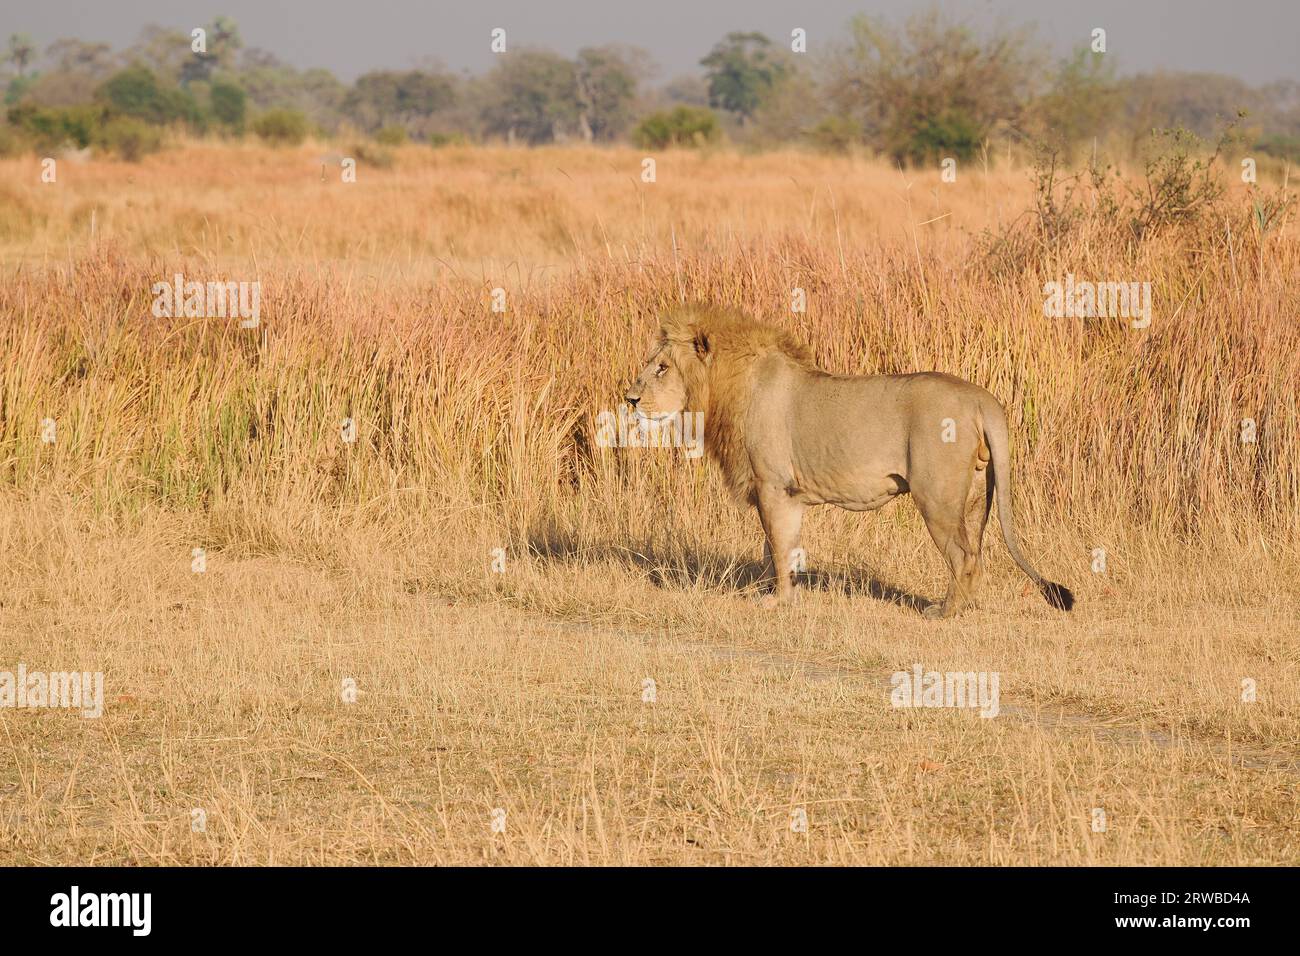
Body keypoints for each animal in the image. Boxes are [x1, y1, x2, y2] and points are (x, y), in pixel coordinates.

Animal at [623, 305, 1074, 618]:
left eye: (661, 368)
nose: (629, 399)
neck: (725, 388)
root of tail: (982, 397)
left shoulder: (773, 486)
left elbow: (779, 548)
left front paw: (776, 604)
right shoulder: (785, 495)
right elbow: (778, 551)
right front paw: (777, 595)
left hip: (937, 498)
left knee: (964, 557)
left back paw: (944, 612)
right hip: (979, 493)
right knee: (977, 552)